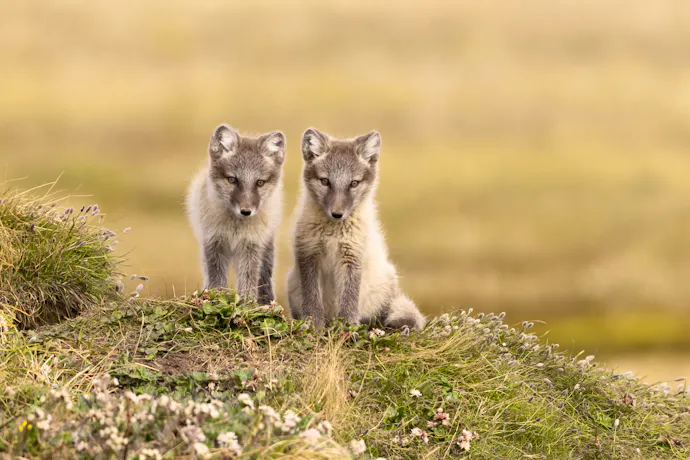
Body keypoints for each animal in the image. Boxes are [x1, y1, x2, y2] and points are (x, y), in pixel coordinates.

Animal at [186, 124, 285, 304]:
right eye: (232, 179)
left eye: (260, 182)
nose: (246, 211)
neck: (235, 228)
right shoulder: (213, 242)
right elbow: (217, 279)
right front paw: (217, 299)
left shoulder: (252, 245)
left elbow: (248, 279)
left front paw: (247, 304)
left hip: (266, 248)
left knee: (264, 277)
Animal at [286, 128, 426, 331]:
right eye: (325, 181)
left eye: (353, 183)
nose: (337, 214)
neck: (333, 235)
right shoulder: (309, 254)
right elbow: (312, 299)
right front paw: (314, 326)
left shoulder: (352, 255)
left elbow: (349, 298)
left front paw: (347, 328)